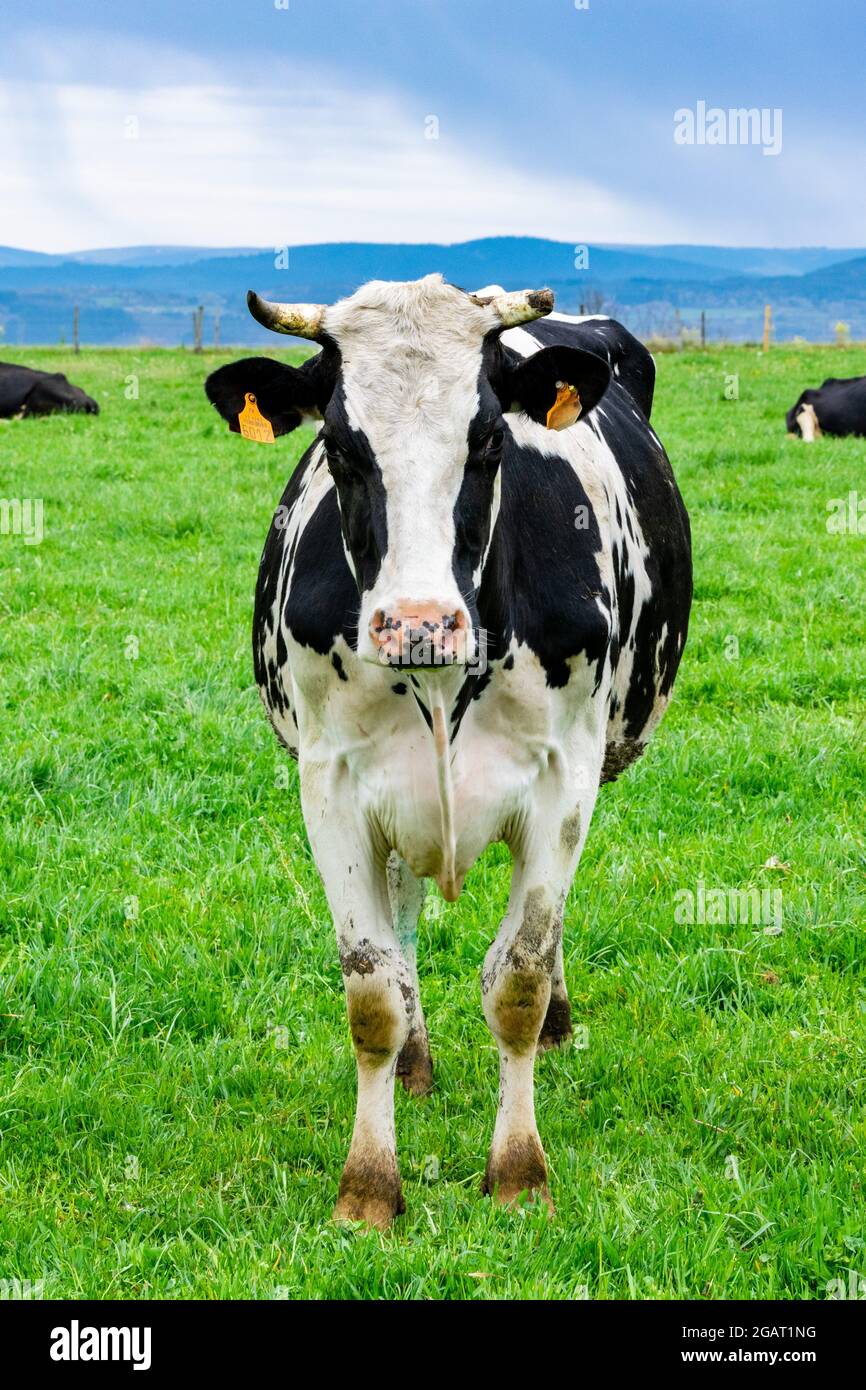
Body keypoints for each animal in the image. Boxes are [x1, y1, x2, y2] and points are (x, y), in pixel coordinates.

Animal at [205, 275, 692, 1228]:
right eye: (340, 444)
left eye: (489, 438)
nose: (419, 622)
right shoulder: (330, 784)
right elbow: (372, 991)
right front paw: (368, 1186)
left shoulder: (565, 780)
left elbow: (519, 979)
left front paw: (519, 1173)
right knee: (403, 915)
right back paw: (417, 1064)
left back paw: (558, 1026)